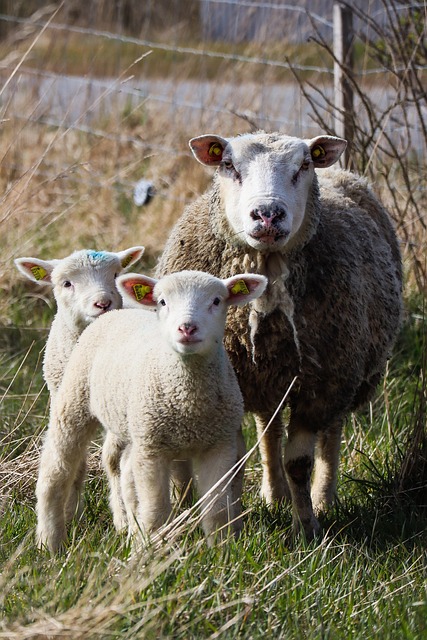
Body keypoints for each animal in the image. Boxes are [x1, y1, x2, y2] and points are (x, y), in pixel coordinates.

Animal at [14, 246, 145, 521]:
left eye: (115, 275)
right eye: (67, 283)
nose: (103, 303)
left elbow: (112, 459)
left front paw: (121, 516)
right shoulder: (63, 399)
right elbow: (77, 461)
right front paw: (71, 514)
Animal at [35, 269, 267, 552]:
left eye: (216, 301)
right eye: (163, 302)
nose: (187, 328)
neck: (188, 401)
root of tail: (116, 312)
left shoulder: (219, 445)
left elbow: (217, 511)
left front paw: (221, 551)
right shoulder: (152, 450)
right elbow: (156, 511)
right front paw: (153, 550)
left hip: (133, 424)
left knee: (125, 470)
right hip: (73, 400)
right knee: (55, 472)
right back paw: (49, 542)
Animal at [156, 131, 403, 539]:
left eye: (304, 165)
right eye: (228, 165)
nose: (268, 214)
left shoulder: (321, 386)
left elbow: (300, 462)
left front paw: (307, 529)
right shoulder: (233, 379)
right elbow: (233, 462)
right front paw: (234, 525)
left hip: (343, 372)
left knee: (330, 435)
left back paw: (323, 498)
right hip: (268, 379)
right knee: (268, 430)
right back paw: (275, 495)